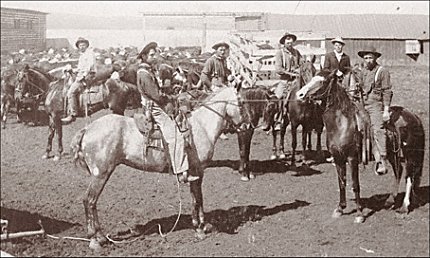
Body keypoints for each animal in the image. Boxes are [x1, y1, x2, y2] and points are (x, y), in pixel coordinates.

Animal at [69, 84, 245, 248]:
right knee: (89, 201)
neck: (201, 126)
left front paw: (203, 225)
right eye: (241, 103)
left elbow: (197, 198)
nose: (245, 126)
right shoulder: (197, 172)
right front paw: (200, 229)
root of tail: (88, 128)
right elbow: (197, 199)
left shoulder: (197, 173)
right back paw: (95, 239)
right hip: (101, 174)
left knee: (90, 202)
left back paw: (99, 237)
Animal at [298, 69, 424, 223]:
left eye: (322, 81)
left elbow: (355, 185)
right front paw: (340, 209)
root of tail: (413, 116)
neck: (342, 124)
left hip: (410, 154)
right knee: (398, 171)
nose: (300, 94)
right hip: (393, 154)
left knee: (409, 177)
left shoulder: (352, 158)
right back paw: (390, 200)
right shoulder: (338, 158)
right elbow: (341, 183)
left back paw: (404, 207)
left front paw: (359, 214)